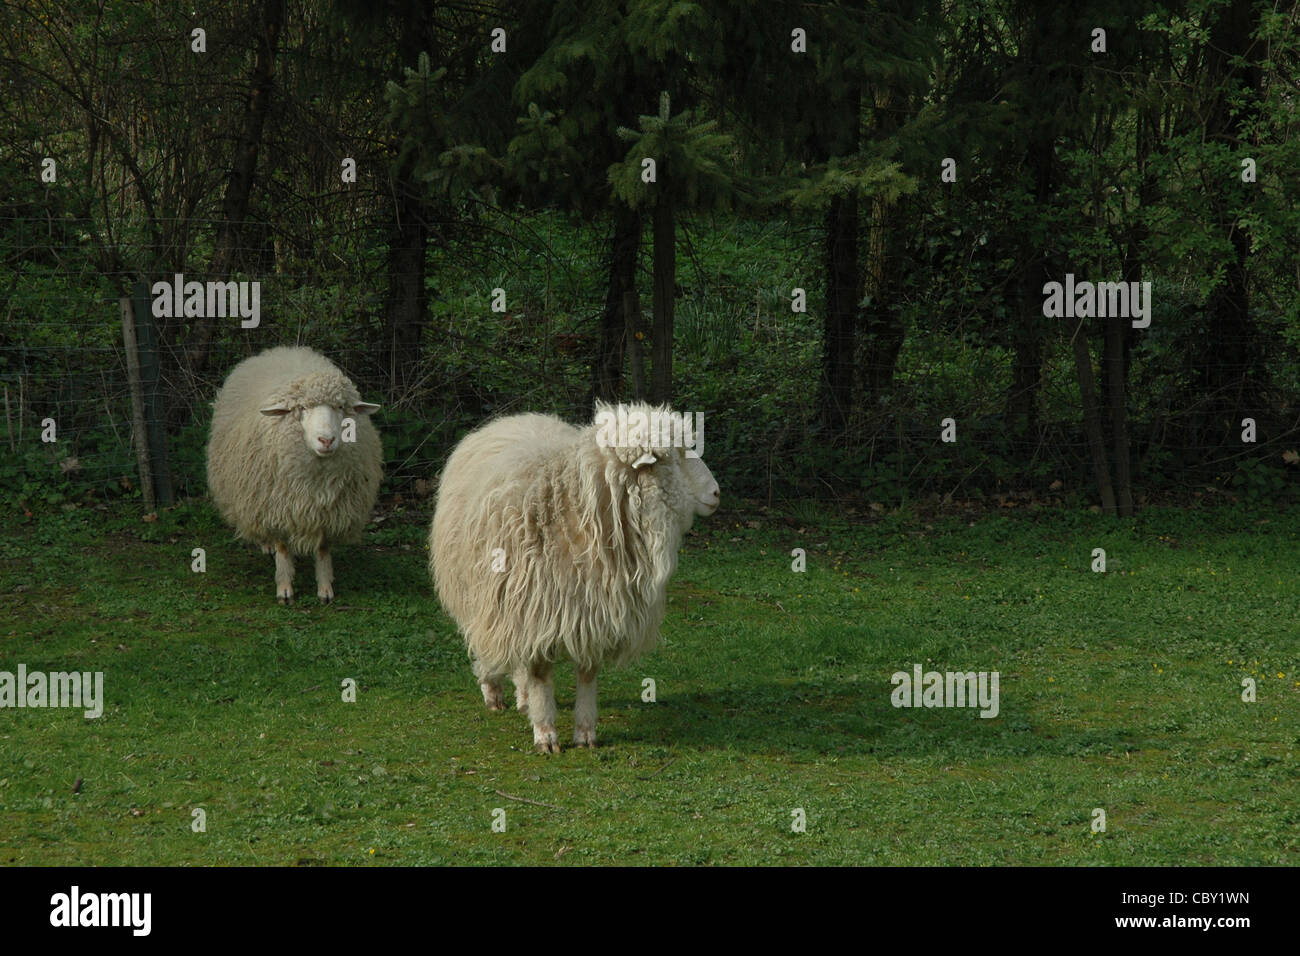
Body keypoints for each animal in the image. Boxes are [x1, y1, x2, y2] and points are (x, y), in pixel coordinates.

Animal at [206, 346, 382, 604]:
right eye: (302, 409)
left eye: (341, 407)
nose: (326, 440)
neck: (316, 480)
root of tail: (282, 350)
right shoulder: (276, 506)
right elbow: (282, 547)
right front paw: (285, 587)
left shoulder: (328, 513)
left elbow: (323, 549)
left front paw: (325, 588)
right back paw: (267, 546)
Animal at [429, 401, 720, 752]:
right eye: (673, 455)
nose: (717, 493)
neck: (577, 507)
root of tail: (514, 418)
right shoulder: (533, 609)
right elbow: (540, 674)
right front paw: (545, 734)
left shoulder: (592, 612)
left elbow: (587, 674)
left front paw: (585, 731)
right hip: (486, 594)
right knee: (486, 640)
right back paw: (492, 688)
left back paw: (522, 697)